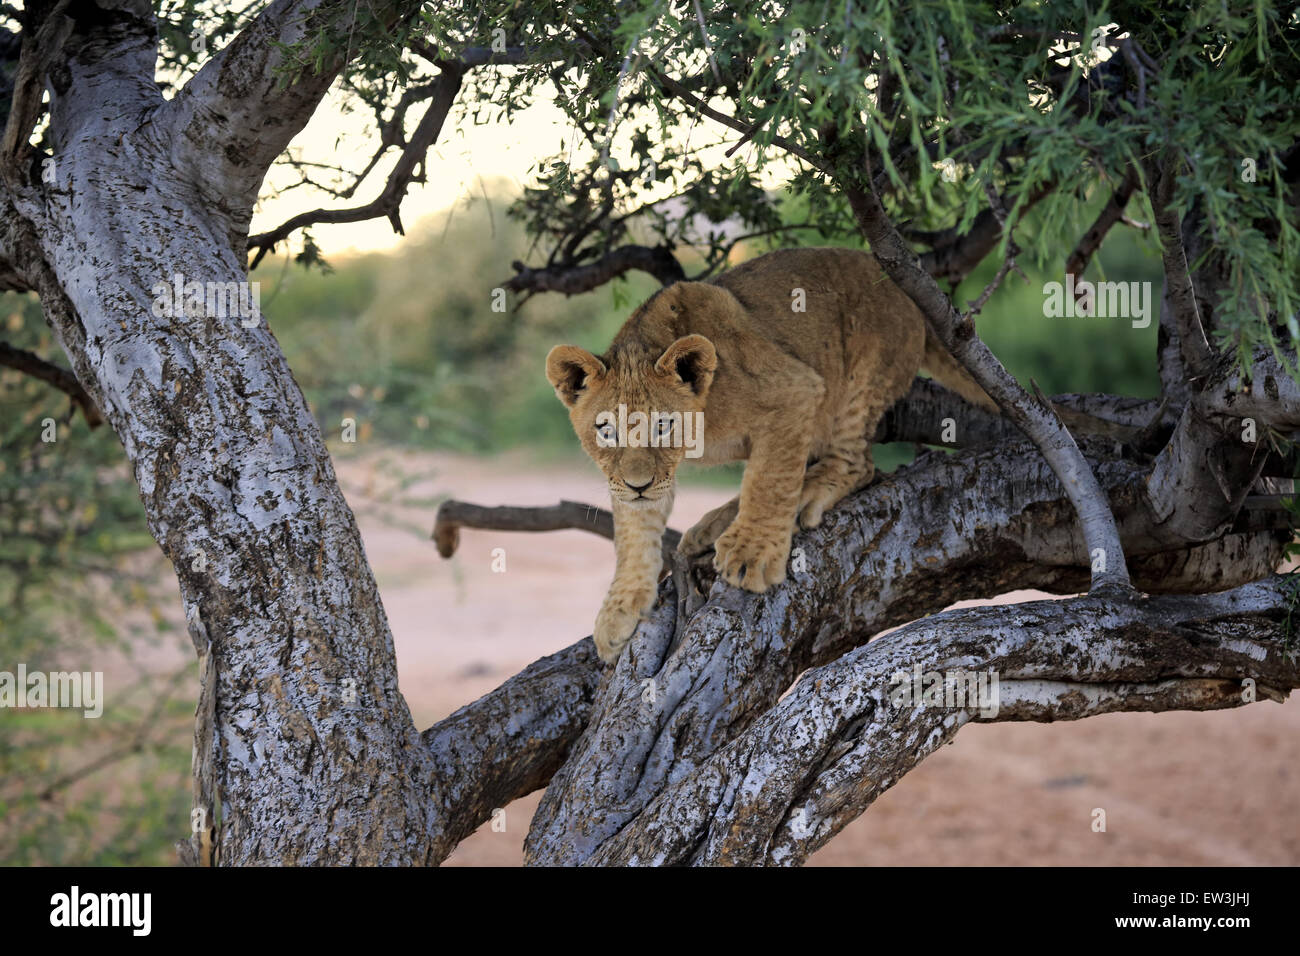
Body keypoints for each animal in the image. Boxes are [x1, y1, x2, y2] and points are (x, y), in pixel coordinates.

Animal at [546, 246, 995, 663]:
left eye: (664, 426)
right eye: (606, 430)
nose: (638, 485)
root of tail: (908, 295)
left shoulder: (794, 389)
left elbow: (770, 479)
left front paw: (754, 554)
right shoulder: (638, 479)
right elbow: (634, 530)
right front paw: (620, 609)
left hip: (860, 374)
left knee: (857, 462)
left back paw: (804, 494)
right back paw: (713, 525)